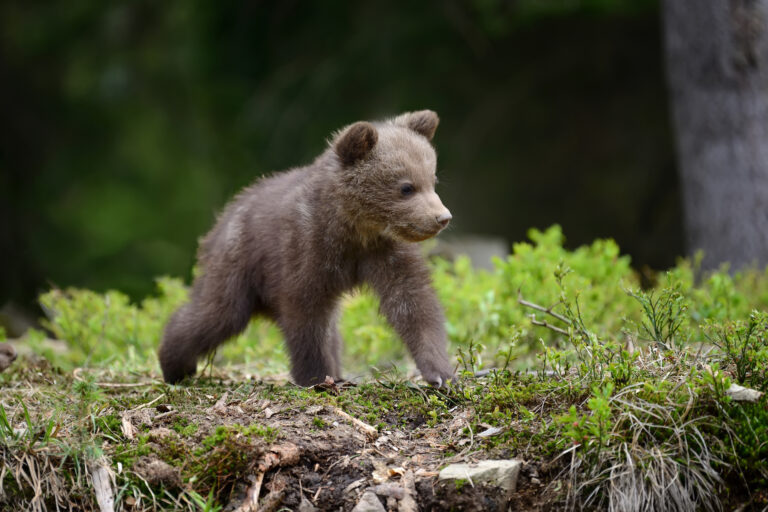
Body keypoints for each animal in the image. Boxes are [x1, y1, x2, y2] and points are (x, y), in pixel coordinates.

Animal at [158, 110, 455, 387]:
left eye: (433, 180)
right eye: (406, 187)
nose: (442, 217)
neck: (353, 228)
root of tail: (222, 219)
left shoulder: (384, 251)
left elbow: (413, 302)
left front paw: (441, 373)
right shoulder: (306, 248)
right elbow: (305, 313)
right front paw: (316, 376)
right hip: (237, 262)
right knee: (217, 313)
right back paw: (174, 363)